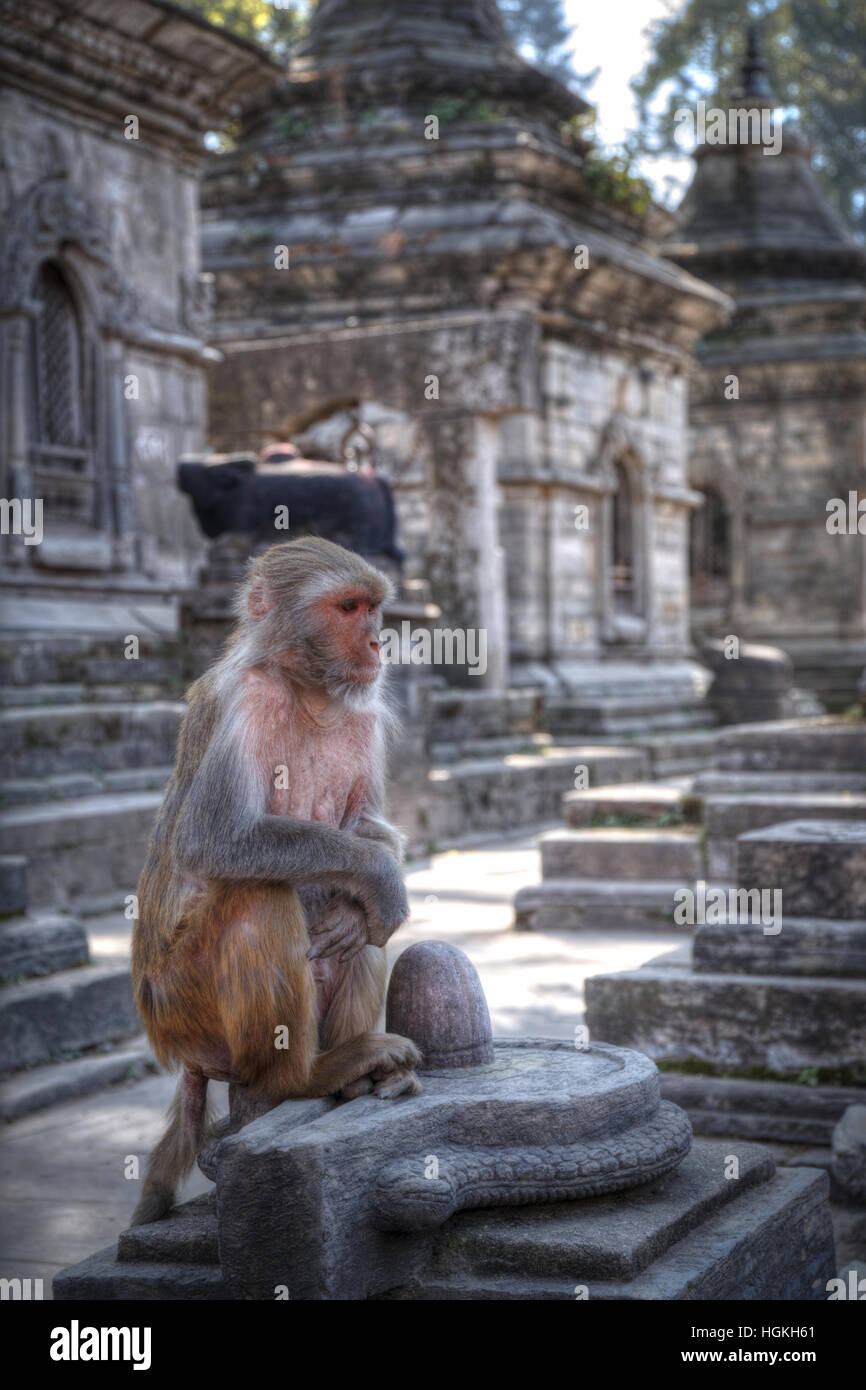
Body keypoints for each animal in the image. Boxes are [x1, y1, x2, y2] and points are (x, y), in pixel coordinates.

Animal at [129, 537, 421, 1226]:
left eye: (373, 608)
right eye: (348, 608)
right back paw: (303, 1078)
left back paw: (356, 1073)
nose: (379, 643)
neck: (309, 689)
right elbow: (216, 839)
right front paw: (379, 876)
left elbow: (369, 831)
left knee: (363, 931)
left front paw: (372, 880)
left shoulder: (365, 713)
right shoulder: (248, 701)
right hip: (186, 1008)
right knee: (259, 894)